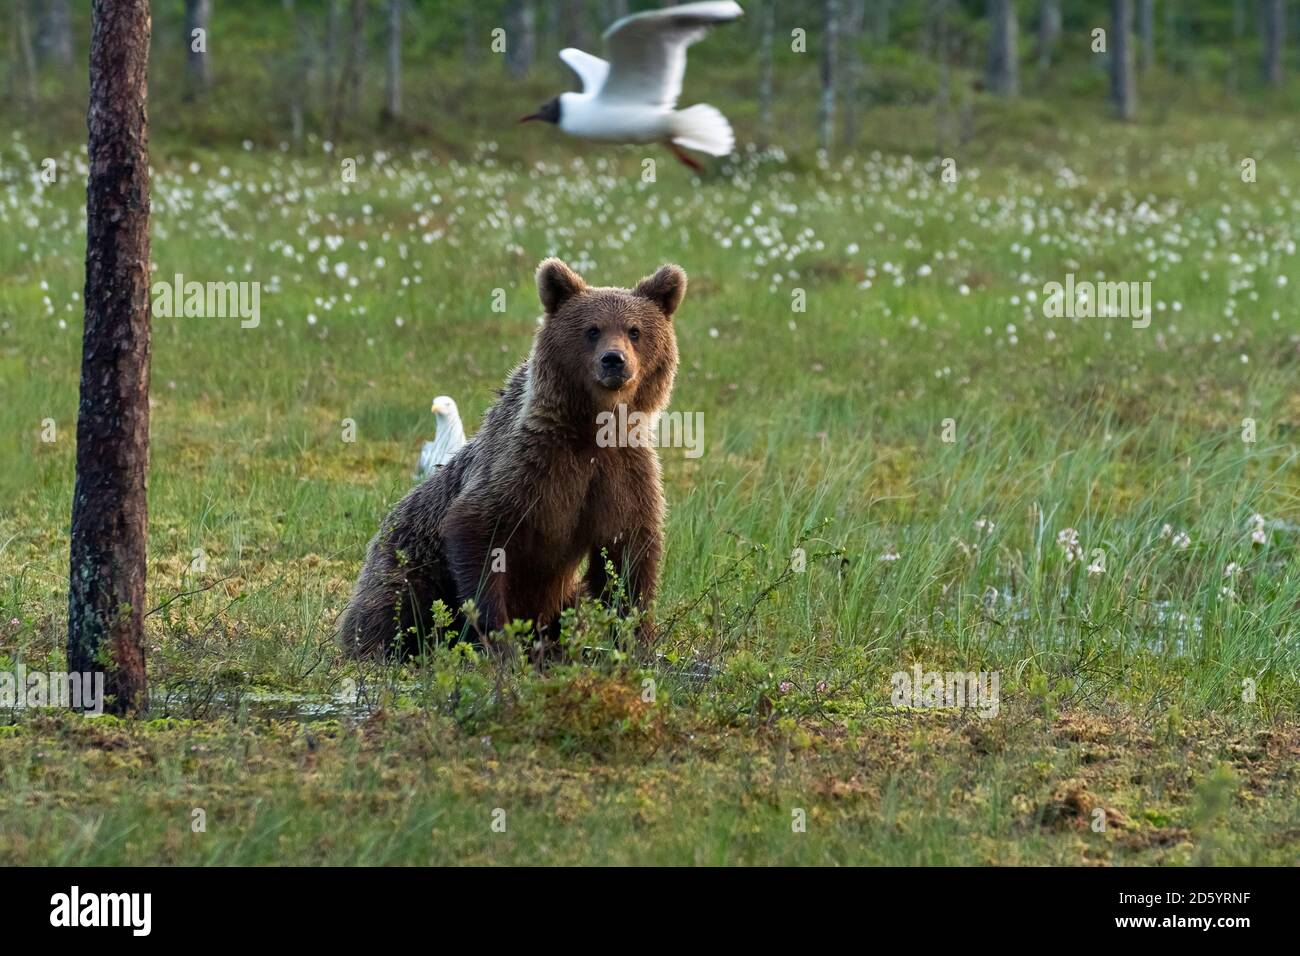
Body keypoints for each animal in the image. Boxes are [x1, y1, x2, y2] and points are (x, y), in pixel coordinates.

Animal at [336, 257, 687, 658]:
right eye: (592, 330)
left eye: (634, 330)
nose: (614, 361)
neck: (592, 429)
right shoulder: (528, 464)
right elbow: (478, 532)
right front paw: (498, 642)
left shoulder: (621, 471)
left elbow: (628, 555)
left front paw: (637, 642)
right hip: (408, 555)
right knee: (396, 601)